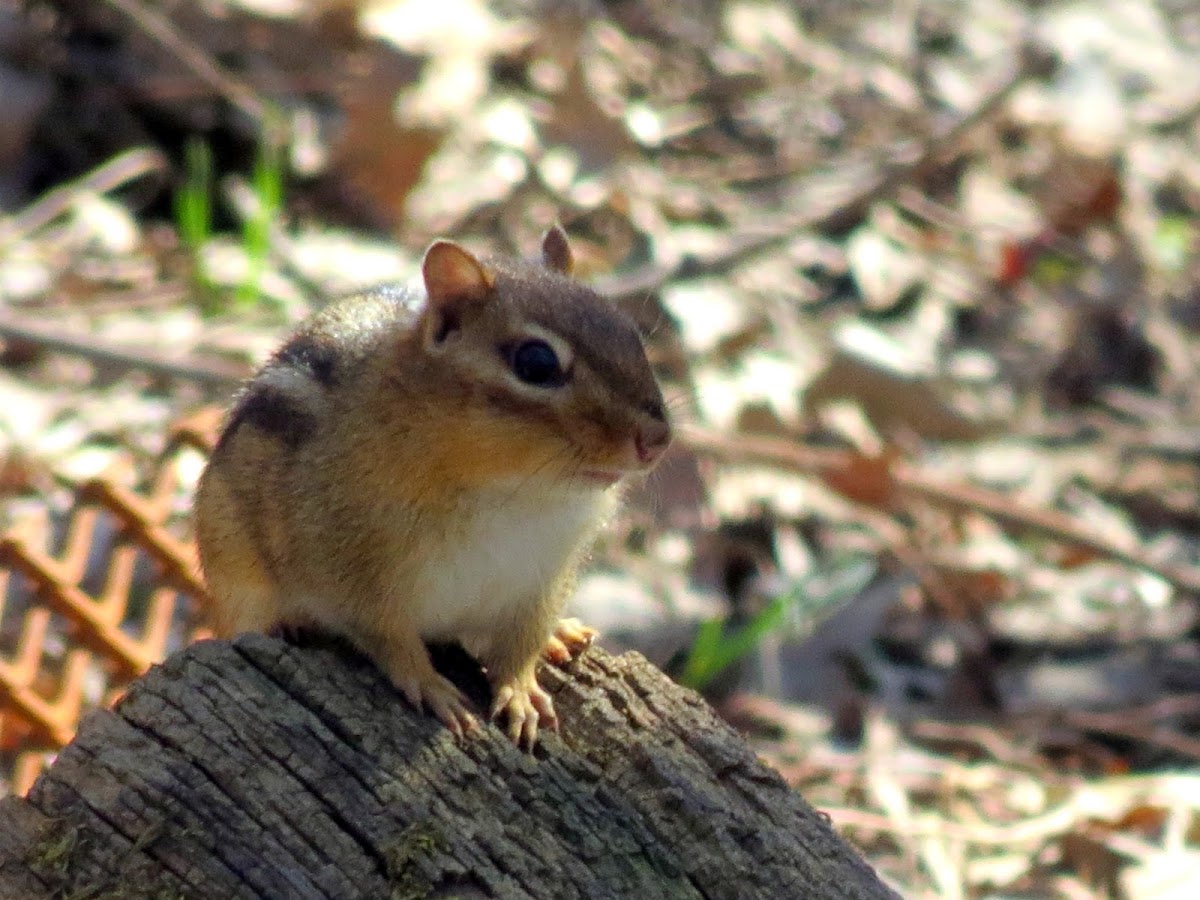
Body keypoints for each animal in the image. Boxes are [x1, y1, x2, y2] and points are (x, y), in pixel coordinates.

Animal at [194, 226, 671, 748]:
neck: (516, 490)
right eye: (536, 363)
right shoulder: (347, 569)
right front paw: (431, 686)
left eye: (629, 332)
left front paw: (521, 689)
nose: (657, 440)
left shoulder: (542, 579)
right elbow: (387, 636)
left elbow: (522, 640)